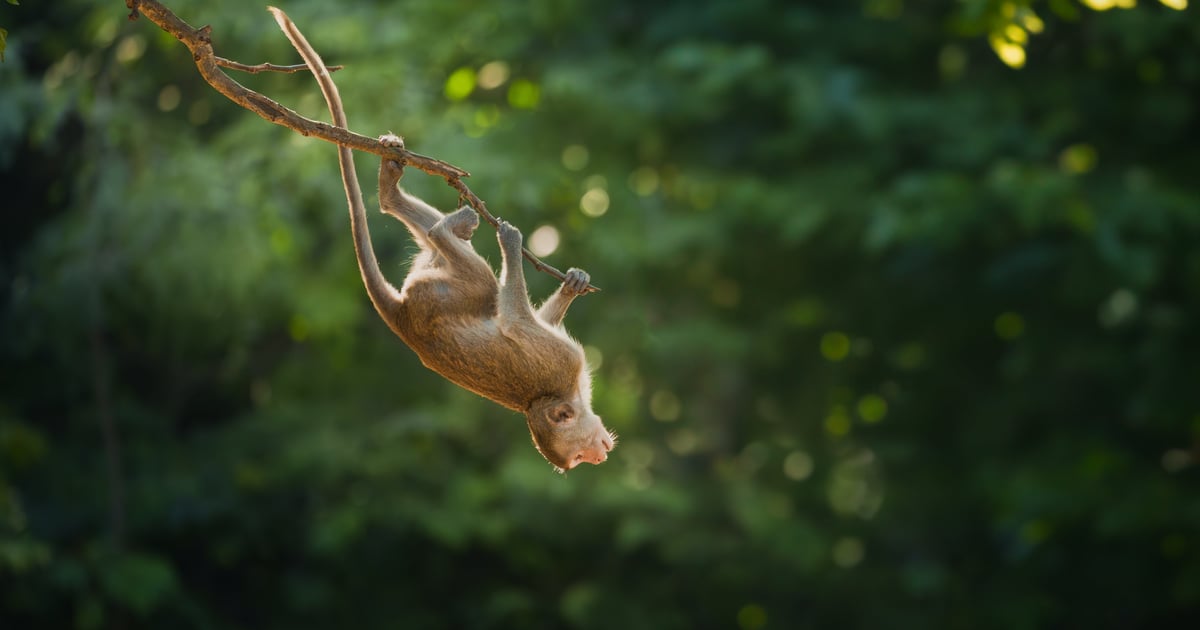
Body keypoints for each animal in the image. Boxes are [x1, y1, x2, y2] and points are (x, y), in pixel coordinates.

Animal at [272, 9, 614, 470]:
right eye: (578, 456)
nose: (600, 456)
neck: (550, 398)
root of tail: (400, 315)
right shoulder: (560, 363)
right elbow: (515, 321)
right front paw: (511, 244)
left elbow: (529, 319)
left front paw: (572, 285)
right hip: (439, 294)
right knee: (481, 283)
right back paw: (449, 225)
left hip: (427, 281)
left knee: (434, 244)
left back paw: (399, 196)